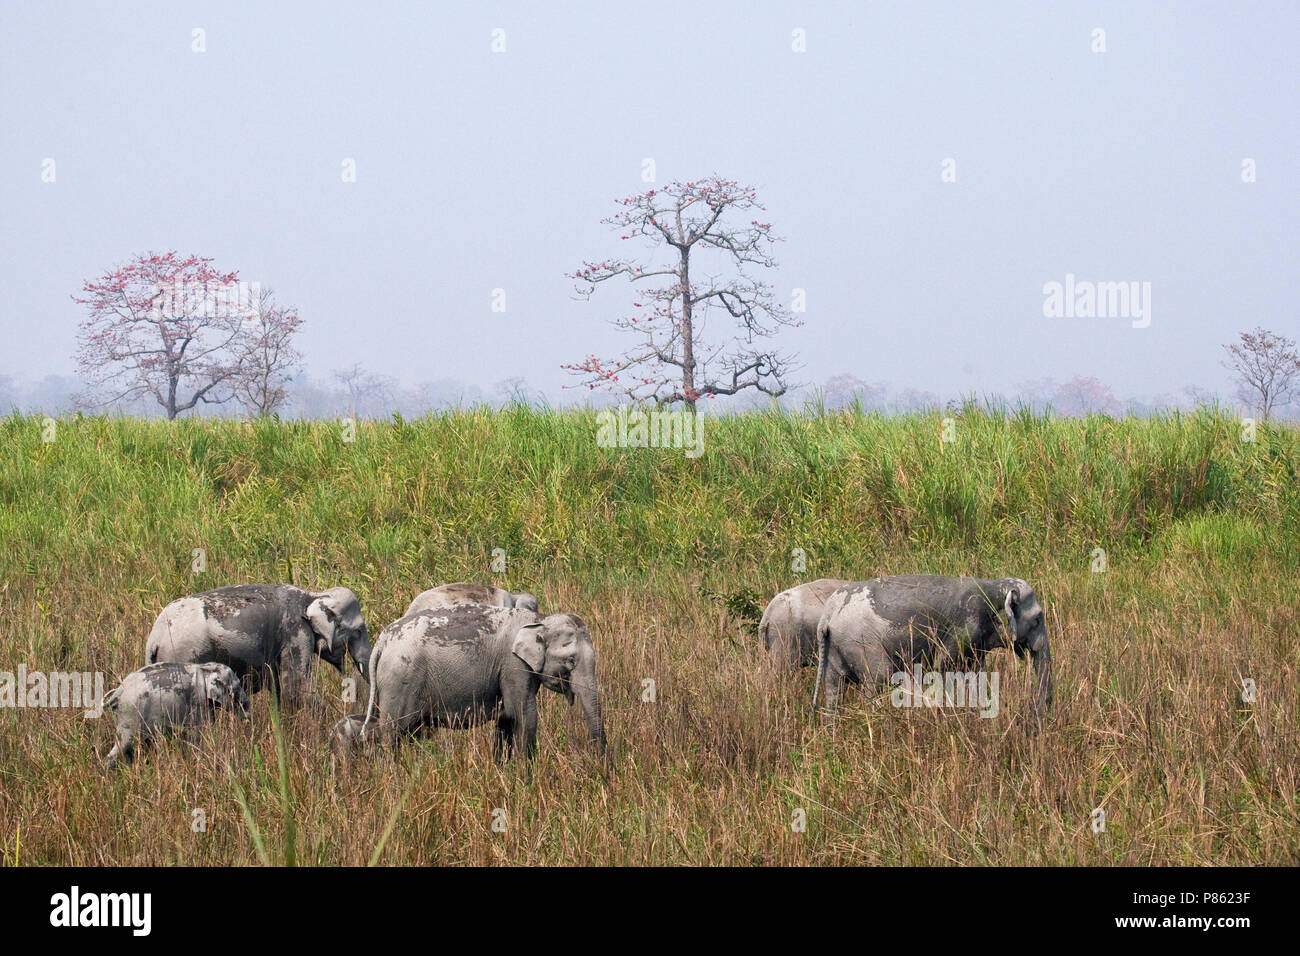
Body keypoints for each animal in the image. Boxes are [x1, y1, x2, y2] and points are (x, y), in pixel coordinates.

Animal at [102, 662, 249, 768]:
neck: (206, 667)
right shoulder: (197, 700)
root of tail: (117, 693)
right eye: (237, 688)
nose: (247, 719)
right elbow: (200, 733)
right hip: (130, 713)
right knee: (124, 743)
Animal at [145, 584, 372, 708]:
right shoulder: (295, 632)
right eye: (359, 631)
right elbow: (295, 687)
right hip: (185, 654)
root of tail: (154, 640)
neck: (312, 596)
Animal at [360, 604, 605, 759]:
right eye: (571, 660)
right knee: (393, 733)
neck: (539, 620)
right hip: (400, 680)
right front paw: (526, 777)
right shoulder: (513, 665)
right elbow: (523, 715)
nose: (600, 766)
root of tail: (382, 640)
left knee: (411, 733)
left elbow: (506, 719)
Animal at [812, 575, 1053, 720]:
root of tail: (827, 616)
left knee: (834, 689)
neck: (994, 585)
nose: (1039, 714)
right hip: (862, 642)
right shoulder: (964, 626)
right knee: (878, 682)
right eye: (1038, 619)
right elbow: (946, 668)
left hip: (836, 646)